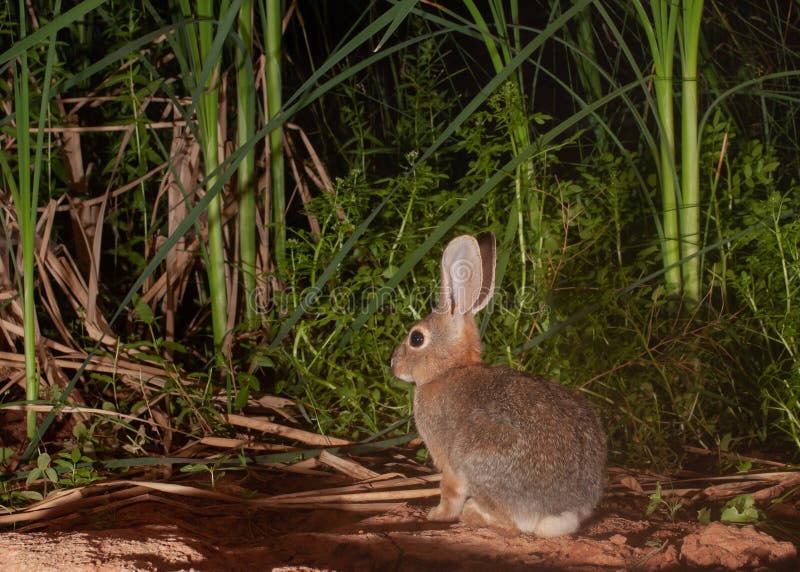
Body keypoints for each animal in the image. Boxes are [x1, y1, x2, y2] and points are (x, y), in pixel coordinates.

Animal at [390, 232, 606, 537]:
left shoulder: (450, 462)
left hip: (478, 459)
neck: (449, 369)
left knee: (510, 524)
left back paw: (472, 513)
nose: (392, 364)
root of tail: (563, 511)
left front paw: (437, 514)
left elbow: (449, 490)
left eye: (416, 339)